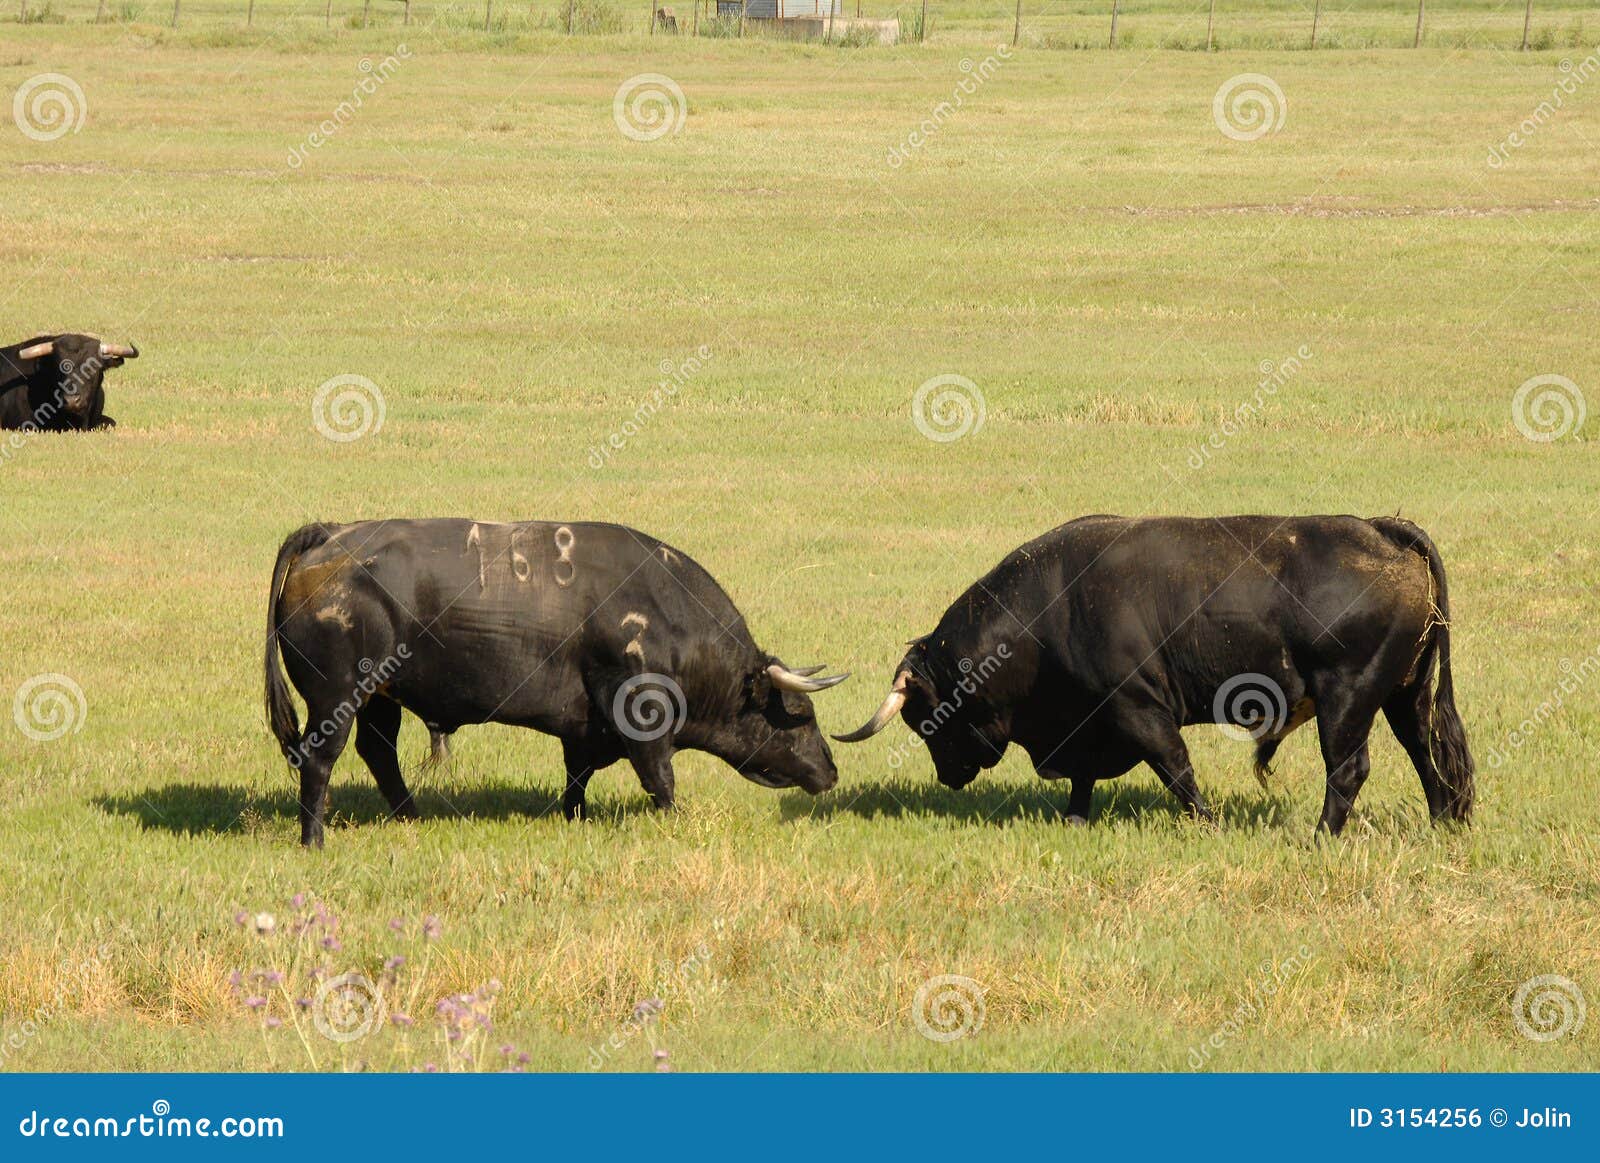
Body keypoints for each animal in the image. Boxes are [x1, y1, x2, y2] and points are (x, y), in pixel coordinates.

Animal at [264, 518, 849, 847]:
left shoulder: (584, 728)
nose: (831, 770)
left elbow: (577, 777)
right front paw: (673, 822)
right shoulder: (641, 712)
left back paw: (411, 818)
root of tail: (327, 538)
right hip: (337, 699)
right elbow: (660, 776)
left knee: (379, 753)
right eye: (801, 716)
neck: (667, 612)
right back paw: (314, 839)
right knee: (321, 760)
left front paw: (576, 819)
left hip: (381, 699)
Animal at [834, 515, 1473, 837]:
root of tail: (1383, 530)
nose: (948, 776)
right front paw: (1074, 822)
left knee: (1348, 769)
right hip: (1404, 695)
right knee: (1426, 756)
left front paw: (1210, 827)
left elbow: (1175, 769)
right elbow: (1084, 779)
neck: (1051, 605)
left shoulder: (1136, 707)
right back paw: (1443, 823)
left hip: (1348, 699)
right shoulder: (1091, 723)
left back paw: (1319, 837)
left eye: (926, 719)